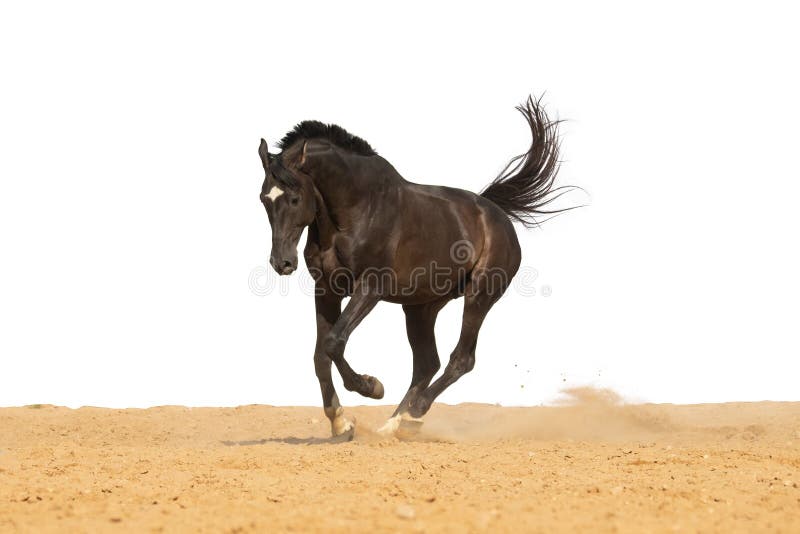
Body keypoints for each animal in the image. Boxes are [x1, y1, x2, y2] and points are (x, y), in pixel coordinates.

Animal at [258, 96, 574, 439]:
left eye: (294, 198)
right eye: (263, 199)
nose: (282, 263)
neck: (356, 208)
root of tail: (497, 215)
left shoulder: (370, 287)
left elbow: (334, 342)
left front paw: (372, 386)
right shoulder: (327, 289)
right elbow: (321, 355)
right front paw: (340, 422)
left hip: (479, 295)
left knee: (460, 359)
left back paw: (412, 415)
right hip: (421, 307)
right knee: (427, 364)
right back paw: (393, 424)